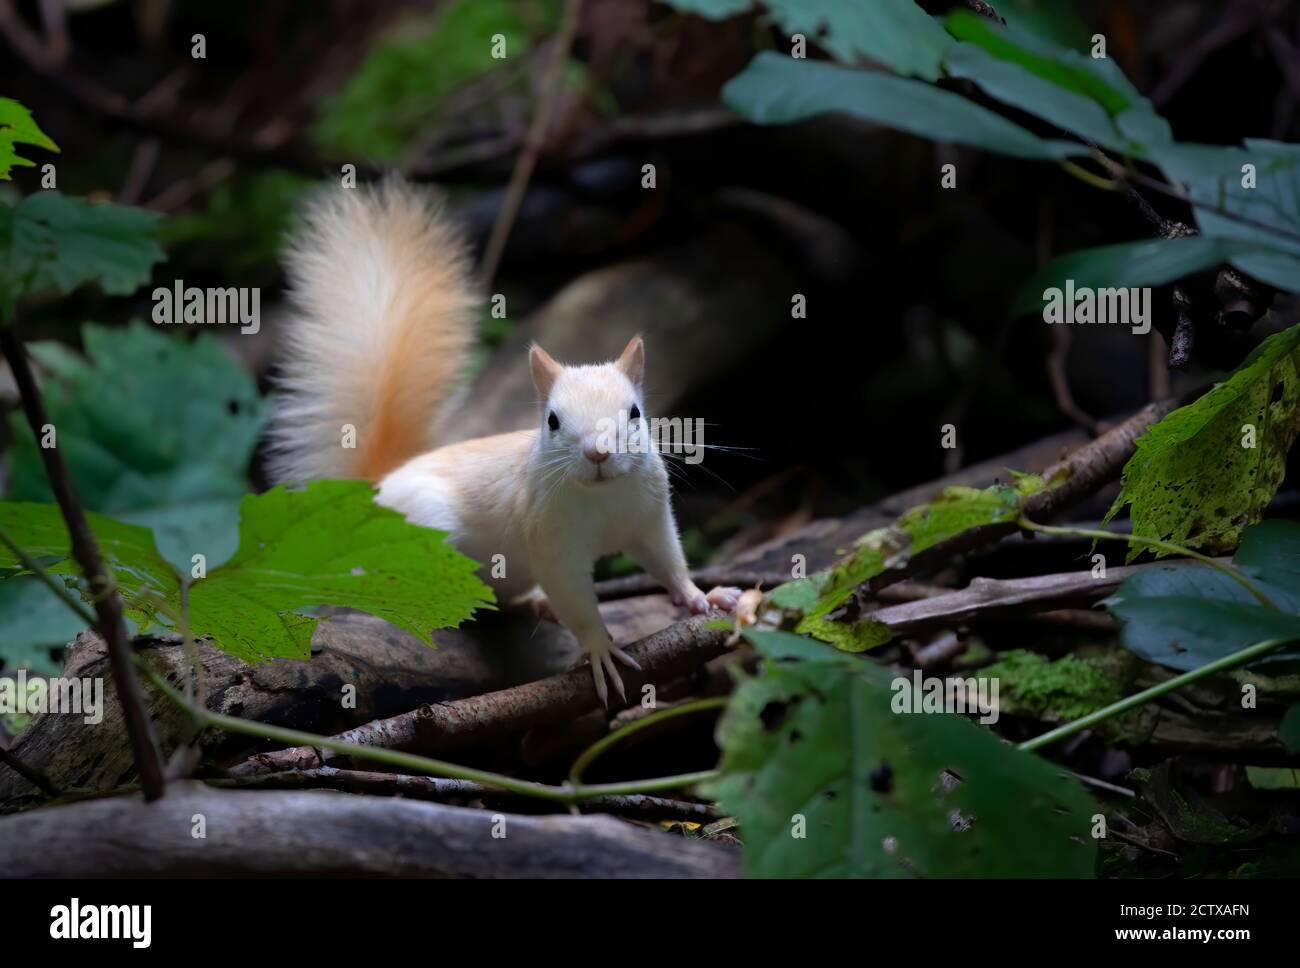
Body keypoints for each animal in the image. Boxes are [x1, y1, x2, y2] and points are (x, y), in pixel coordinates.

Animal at [266, 178, 741, 704]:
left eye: (635, 413)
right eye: (552, 420)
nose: (597, 452)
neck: (603, 498)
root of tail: (373, 491)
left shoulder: (649, 518)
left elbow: (668, 561)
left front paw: (703, 595)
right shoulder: (551, 539)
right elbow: (576, 599)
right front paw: (599, 647)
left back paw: (532, 604)